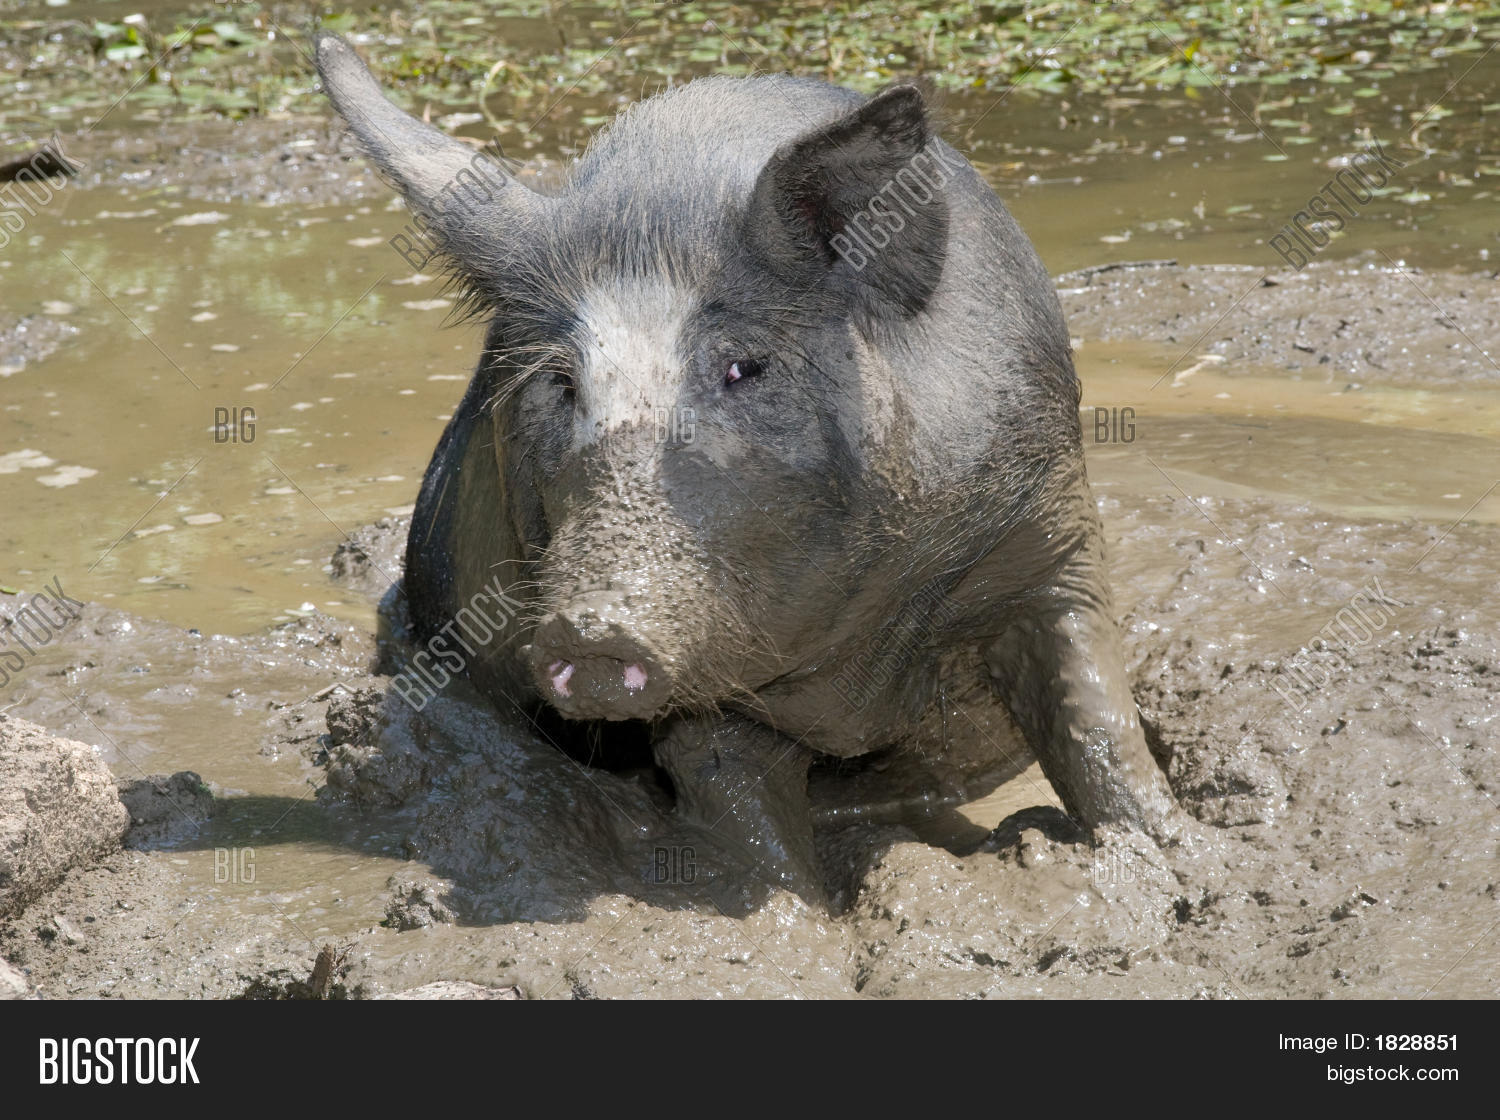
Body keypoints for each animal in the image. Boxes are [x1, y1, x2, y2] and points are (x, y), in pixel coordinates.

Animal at [314, 31, 1176, 899]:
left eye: (743, 367)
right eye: (561, 382)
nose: (594, 630)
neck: (852, 679)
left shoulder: (1047, 522)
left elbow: (1094, 719)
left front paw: (1173, 856)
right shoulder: (703, 688)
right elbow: (746, 818)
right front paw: (808, 915)